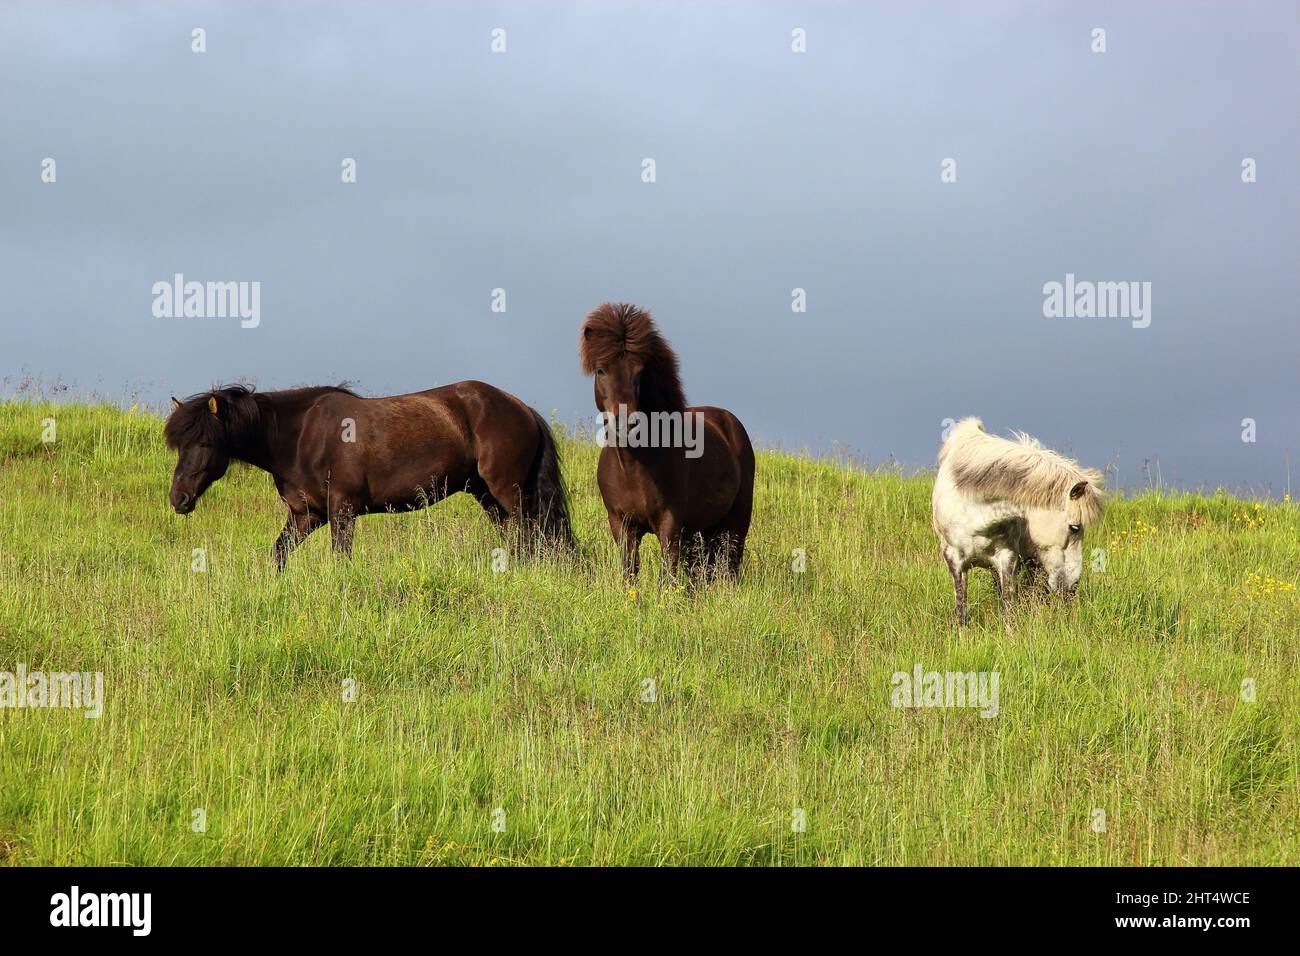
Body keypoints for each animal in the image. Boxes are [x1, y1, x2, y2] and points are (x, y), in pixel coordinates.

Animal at [164, 381, 573, 570]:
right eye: (180, 444)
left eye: (205, 442)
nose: (178, 499)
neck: (301, 437)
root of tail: (521, 408)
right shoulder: (306, 515)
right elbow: (278, 554)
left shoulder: (342, 512)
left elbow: (341, 559)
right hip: (488, 497)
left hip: (508, 492)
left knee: (530, 536)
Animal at [579, 302, 755, 584]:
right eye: (601, 370)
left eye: (640, 372)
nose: (625, 423)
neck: (633, 465)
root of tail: (728, 421)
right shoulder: (621, 525)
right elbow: (630, 573)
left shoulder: (670, 525)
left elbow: (666, 577)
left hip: (736, 525)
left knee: (729, 568)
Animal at [931, 418, 1104, 625]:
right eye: (1074, 528)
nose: (1072, 587)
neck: (974, 514)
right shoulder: (955, 561)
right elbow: (962, 609)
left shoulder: (1007, 557)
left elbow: (1008, 605)